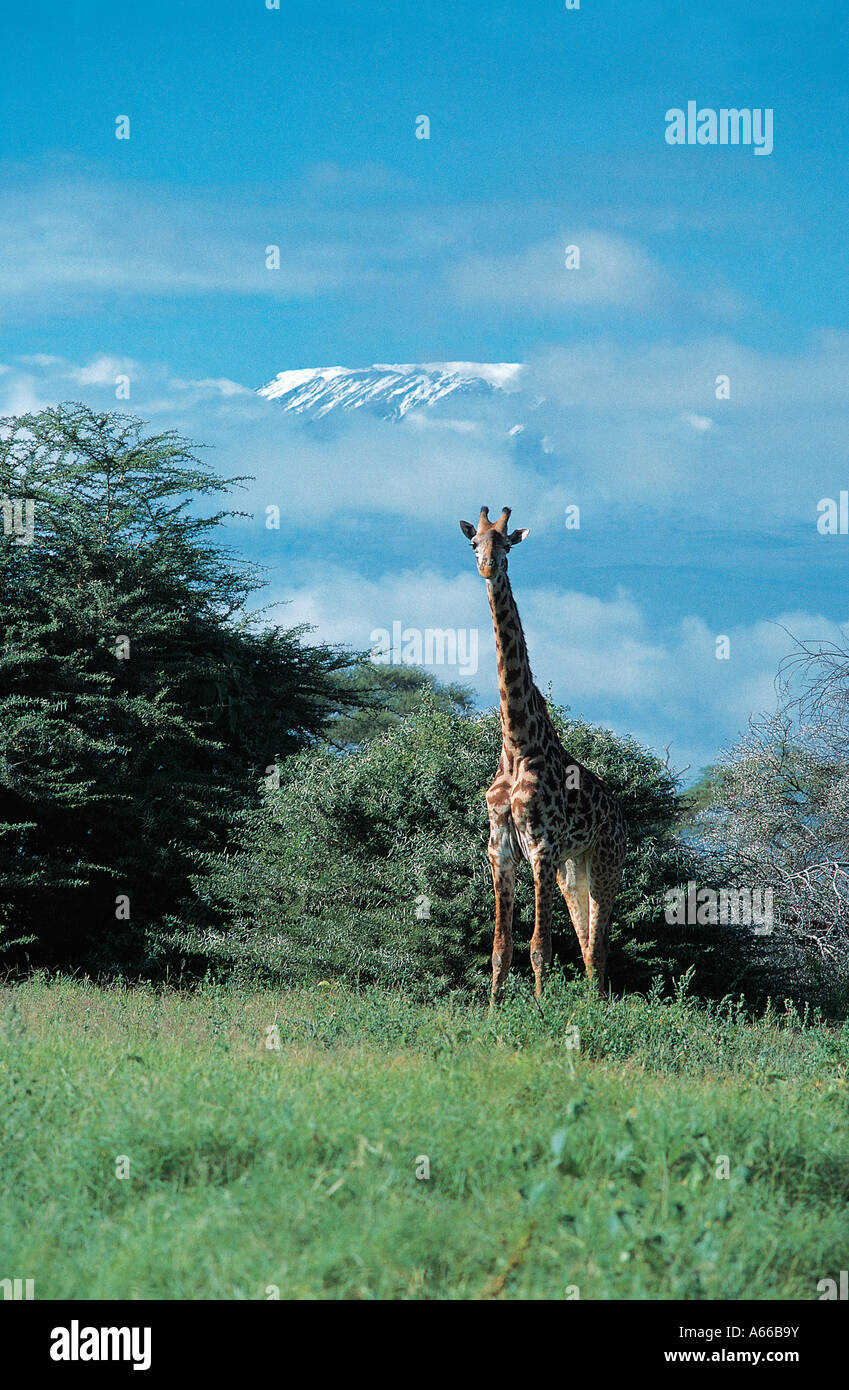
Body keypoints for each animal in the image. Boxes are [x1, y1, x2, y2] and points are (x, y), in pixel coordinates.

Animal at [459, 506, 627, 1004]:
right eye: (474, 543)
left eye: (507, 545)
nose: (488, 567)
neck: (517, 743)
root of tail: (620, 814)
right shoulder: (500, 849)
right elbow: (500, 949)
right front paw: (493, 1013)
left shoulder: (542, 847)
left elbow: (540, 948)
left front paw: (538, 1013)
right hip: (572, 871)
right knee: (588, 941)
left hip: (605, 860)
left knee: (598, 946)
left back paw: (595, 1010)